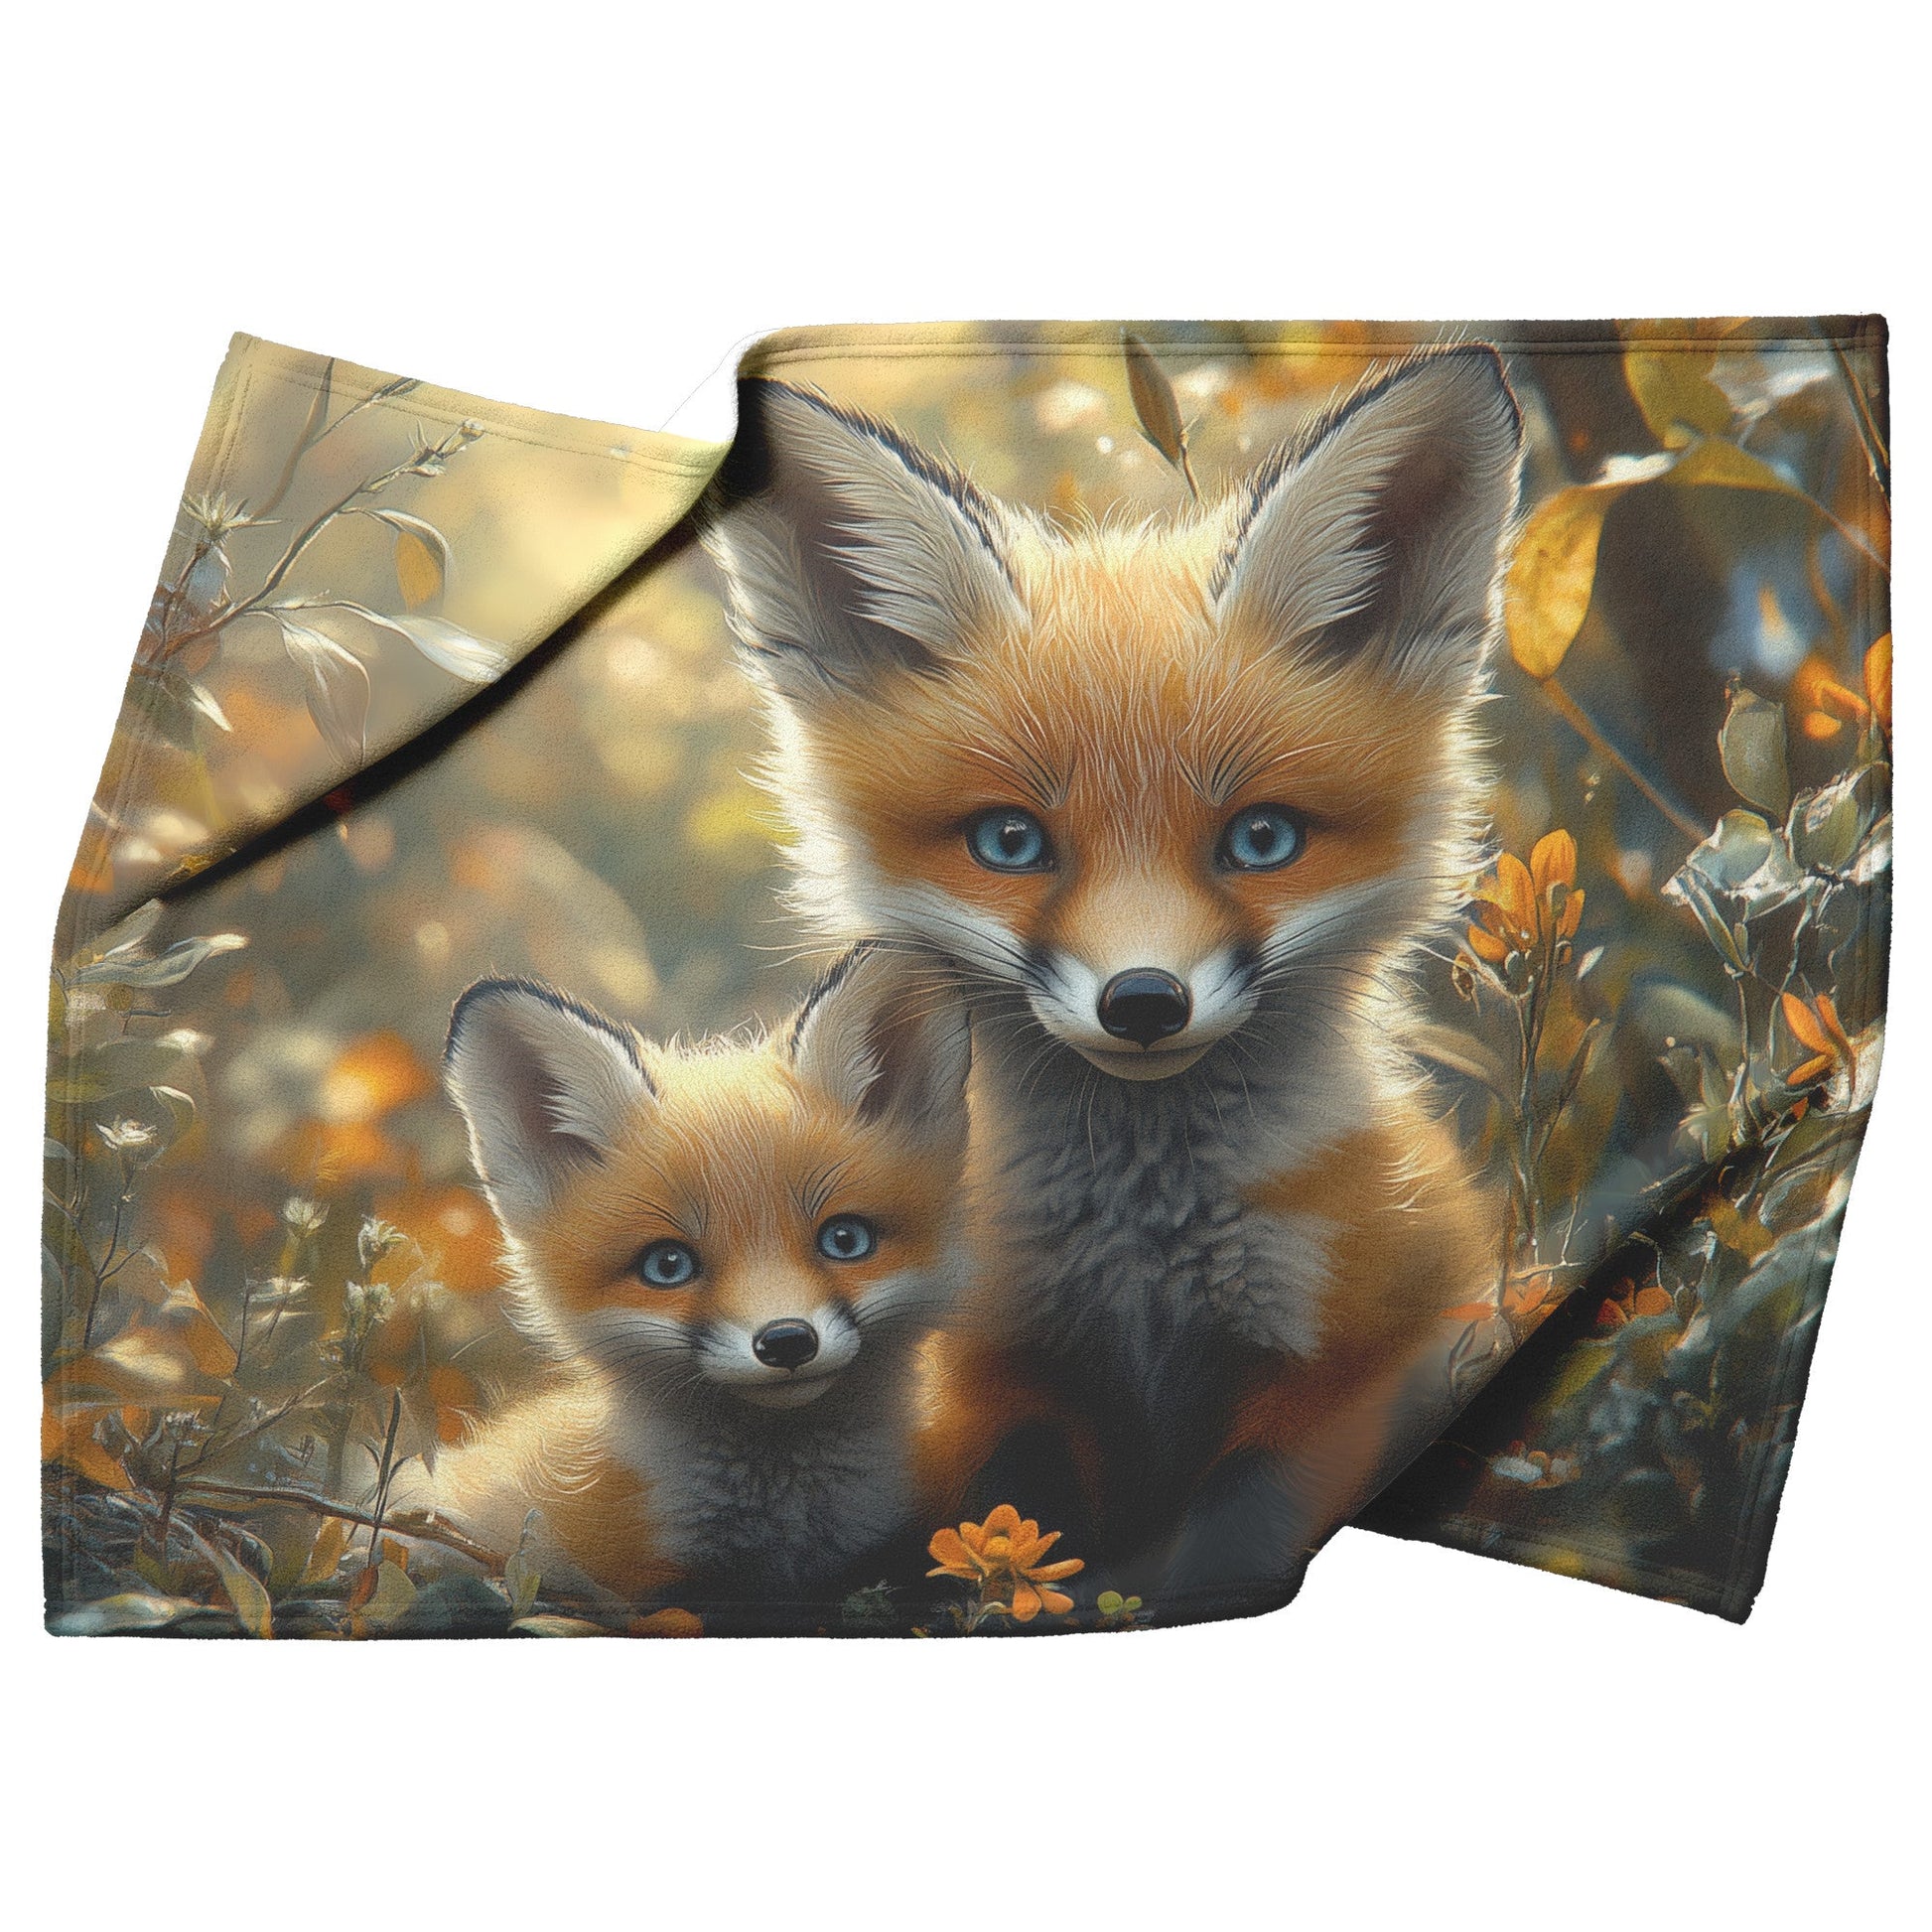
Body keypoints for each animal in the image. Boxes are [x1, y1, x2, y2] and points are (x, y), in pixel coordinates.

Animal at [700, 346, 1520, 1592]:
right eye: (1009, 841)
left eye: (1260, 839)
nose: (1142, 1001)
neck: (1144, 1265)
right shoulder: (1001, 1376)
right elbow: (1014, 1533)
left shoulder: (1331, 1377)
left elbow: (1230, 1540)